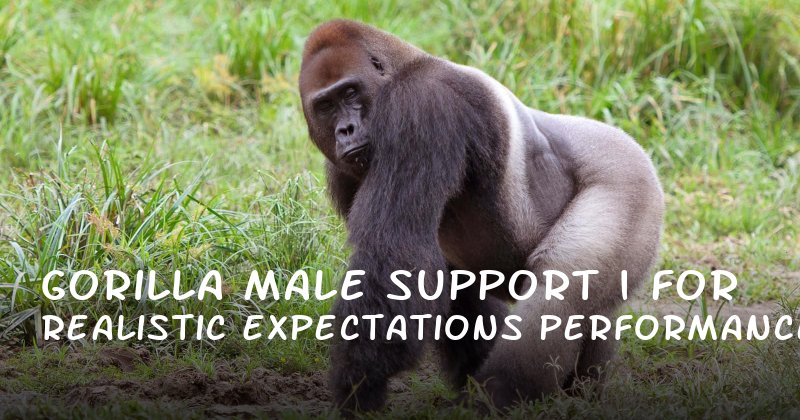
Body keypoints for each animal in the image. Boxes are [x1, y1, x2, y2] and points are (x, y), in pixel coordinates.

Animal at [298, 19, 664, 414]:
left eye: (351, 92)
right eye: (326, 106)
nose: (345, 130)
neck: (402, 65)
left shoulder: (423, 102)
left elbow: (395, 253)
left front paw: (359, 384)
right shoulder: (343, 173)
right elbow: (448, 281)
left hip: (628, 179)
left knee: (562, 293)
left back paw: (498, 397)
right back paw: (581, 395)